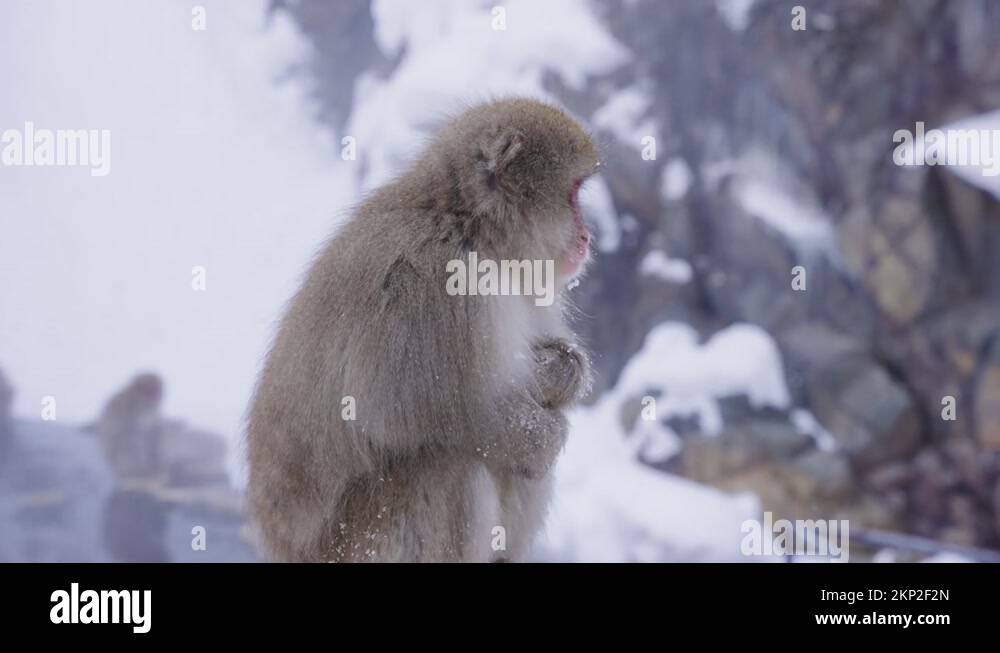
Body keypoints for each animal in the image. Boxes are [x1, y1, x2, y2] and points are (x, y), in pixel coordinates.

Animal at [246, 98, 600, 562]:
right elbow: (444, 412)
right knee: (452, 463)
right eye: (574, 193)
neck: (470, 232)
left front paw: (564, 369)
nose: (588, 236)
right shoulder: (432, 287)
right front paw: (548, 427)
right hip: (365, 540)